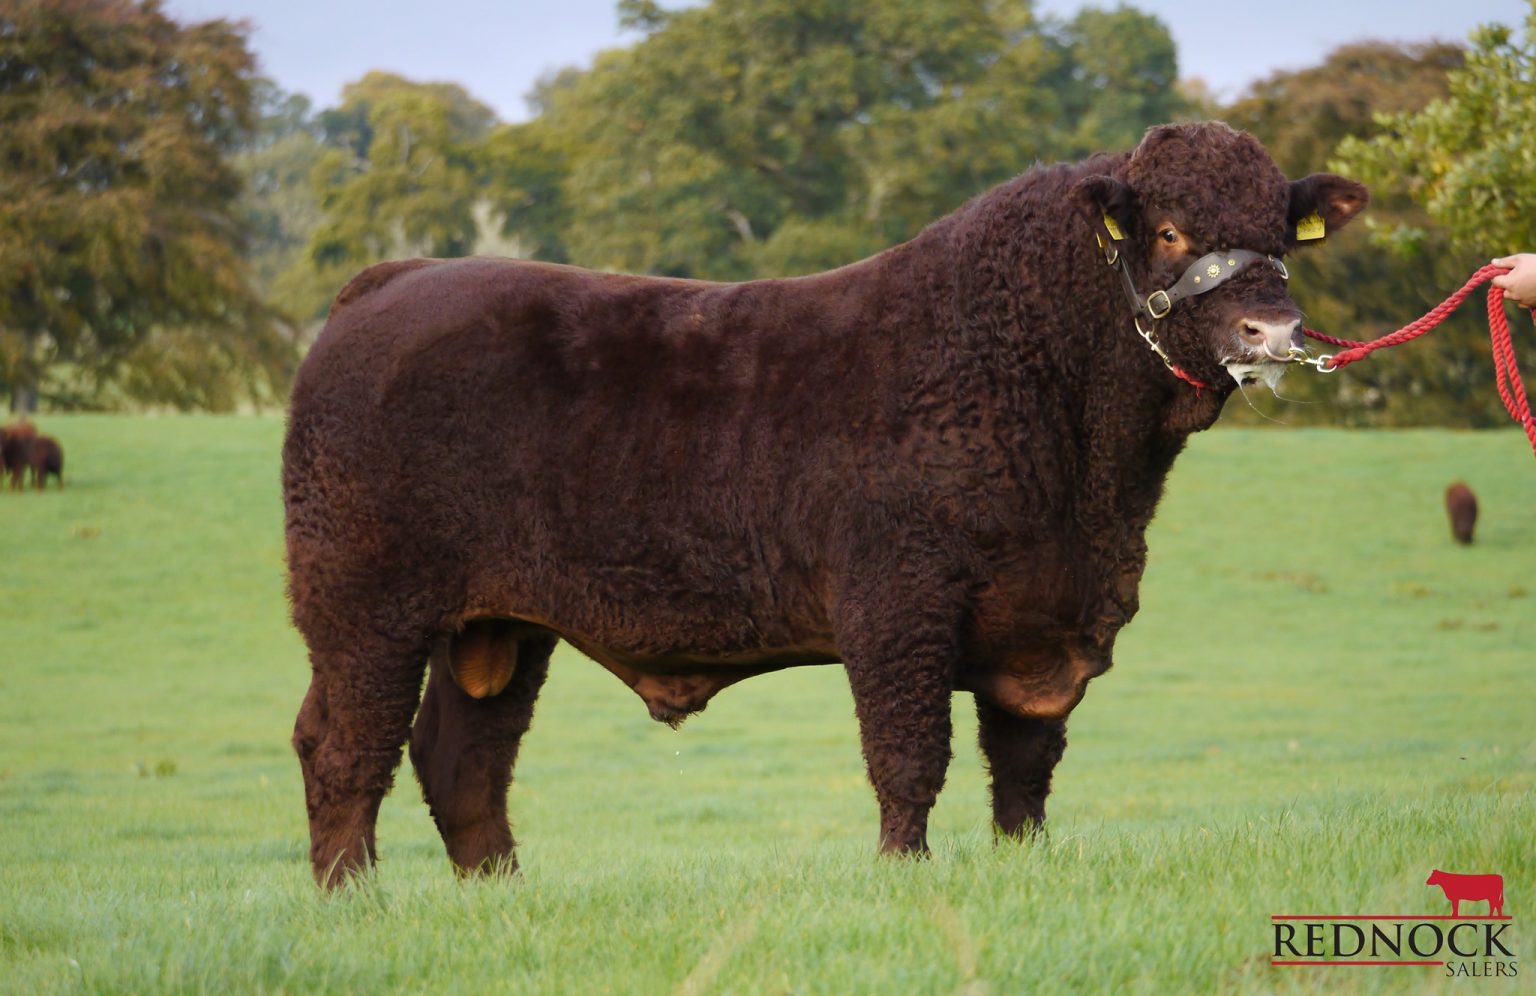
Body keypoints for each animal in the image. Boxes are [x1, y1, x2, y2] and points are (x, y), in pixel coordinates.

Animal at [283, 121, 1368, 887]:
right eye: (1172, 230)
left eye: (1280, 235)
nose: (1274, 329)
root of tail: (394, 280)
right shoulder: (898, 601)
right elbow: (910, 753)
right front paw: (904, 876)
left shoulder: (1043, 626)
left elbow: (1024, 770)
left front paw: (1025, 869)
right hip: (361, 601)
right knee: (344, 746)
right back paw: (356, 900)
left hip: (497, 624)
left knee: (461, 756)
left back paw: (502, 895)